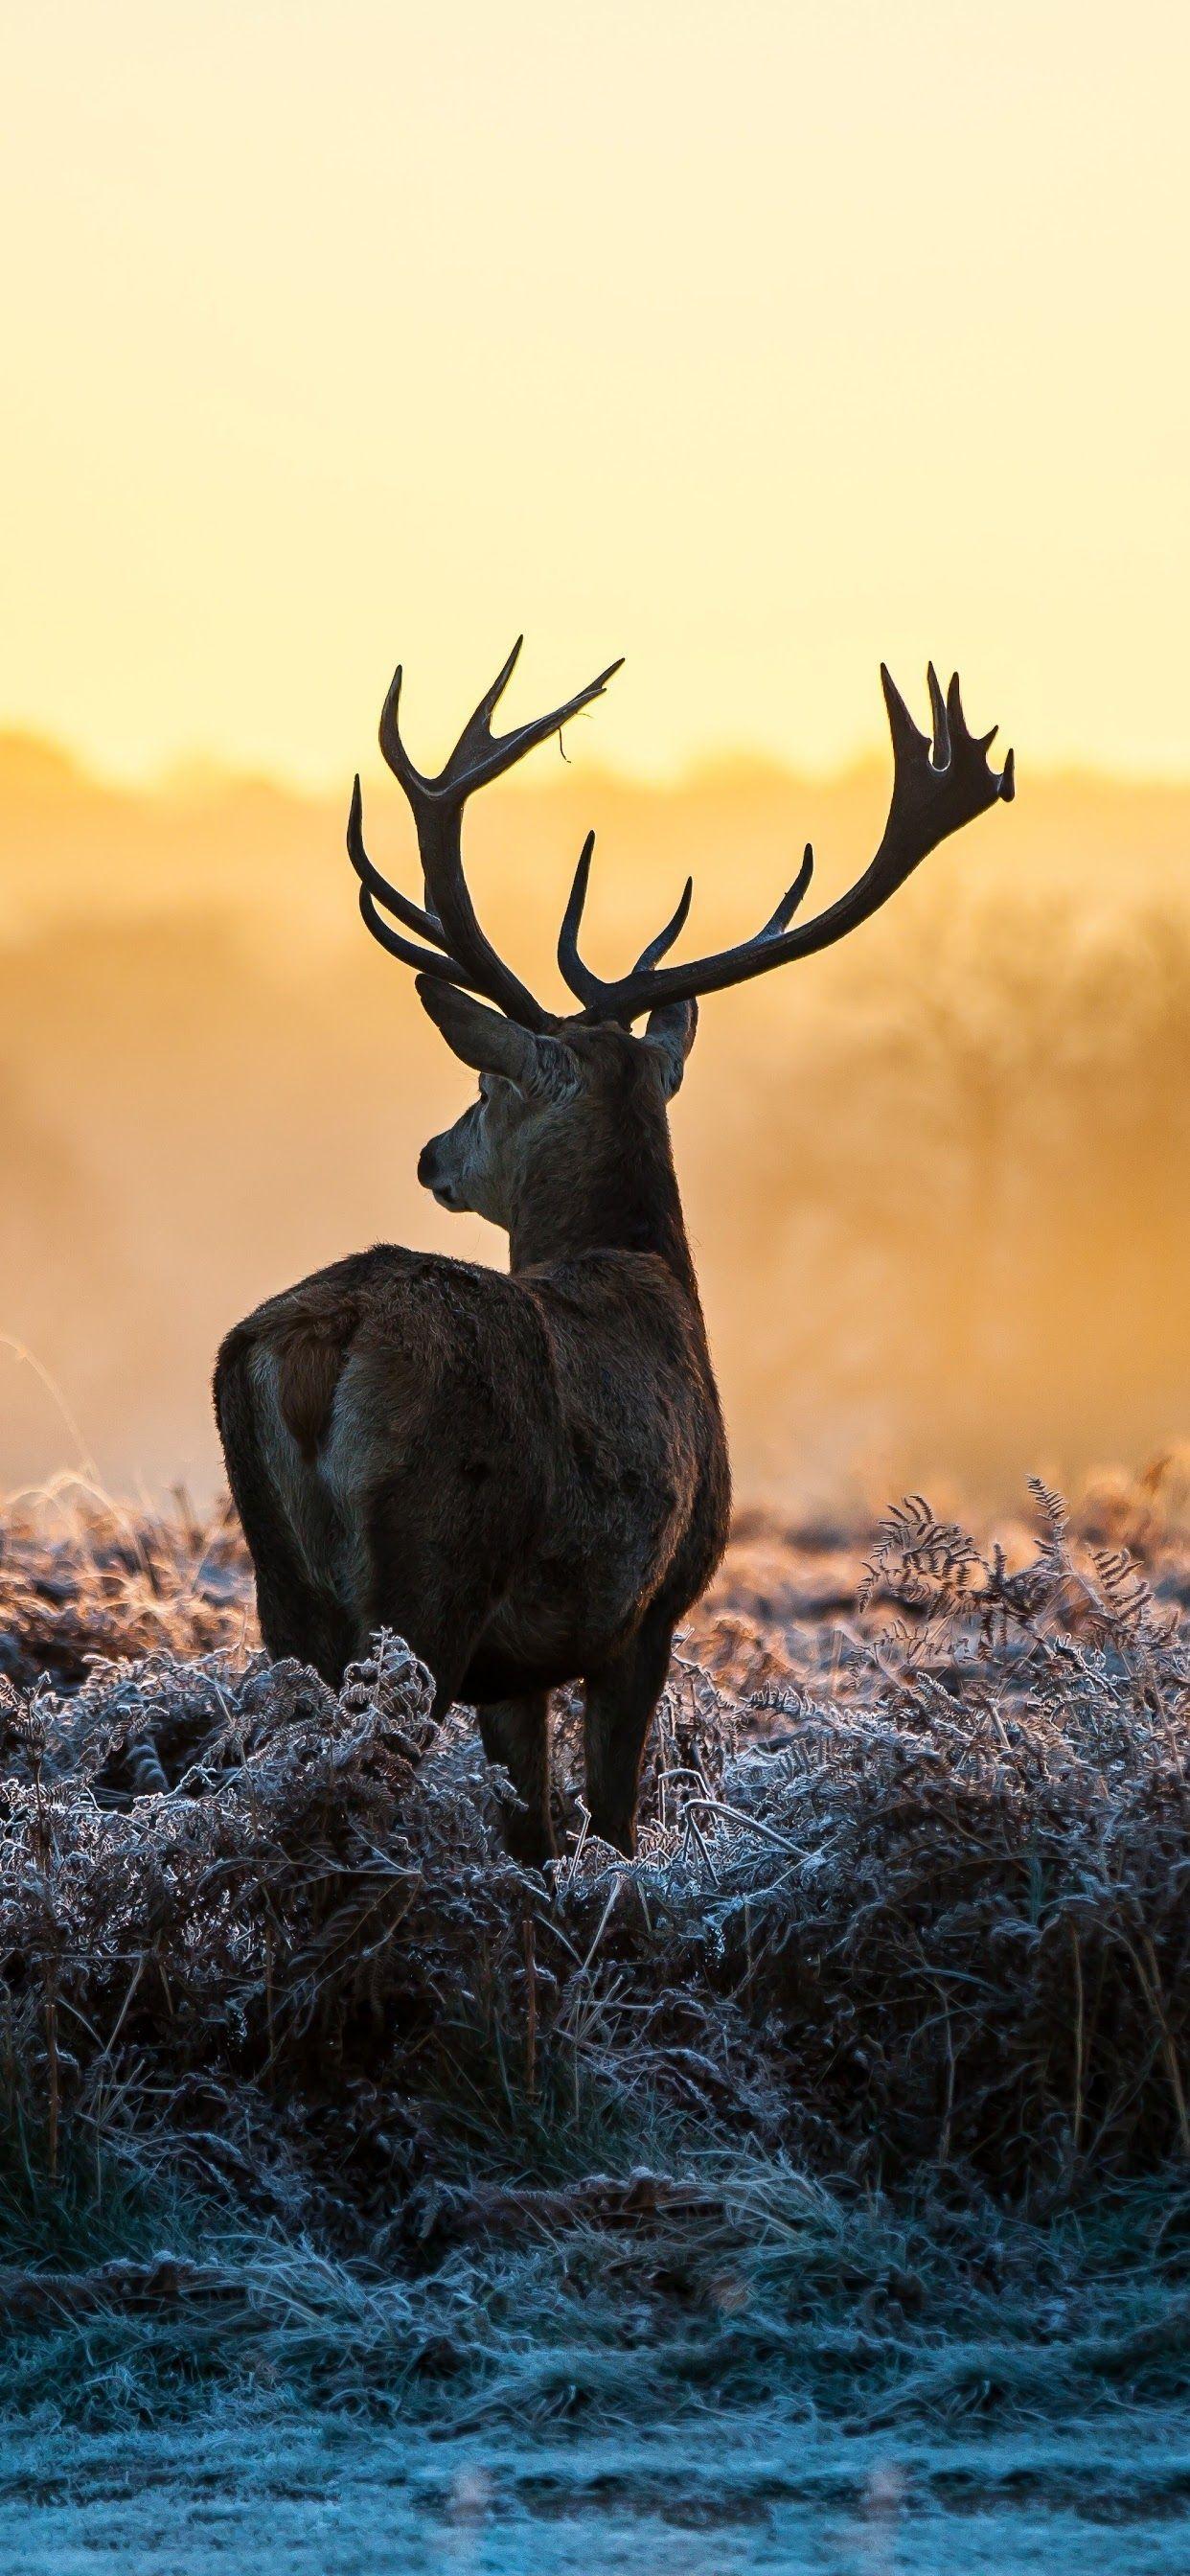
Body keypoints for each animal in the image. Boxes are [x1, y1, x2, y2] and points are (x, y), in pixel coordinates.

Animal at [214, 642, 1013, 1862]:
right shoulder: (649, 1608)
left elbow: (533, 1832)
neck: (648, 1274)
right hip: (433, 1573)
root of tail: (318, 1343)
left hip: (285, 1593)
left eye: (485, 1082)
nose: (432, 1155)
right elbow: (613, 1824)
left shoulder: (522, 1665)